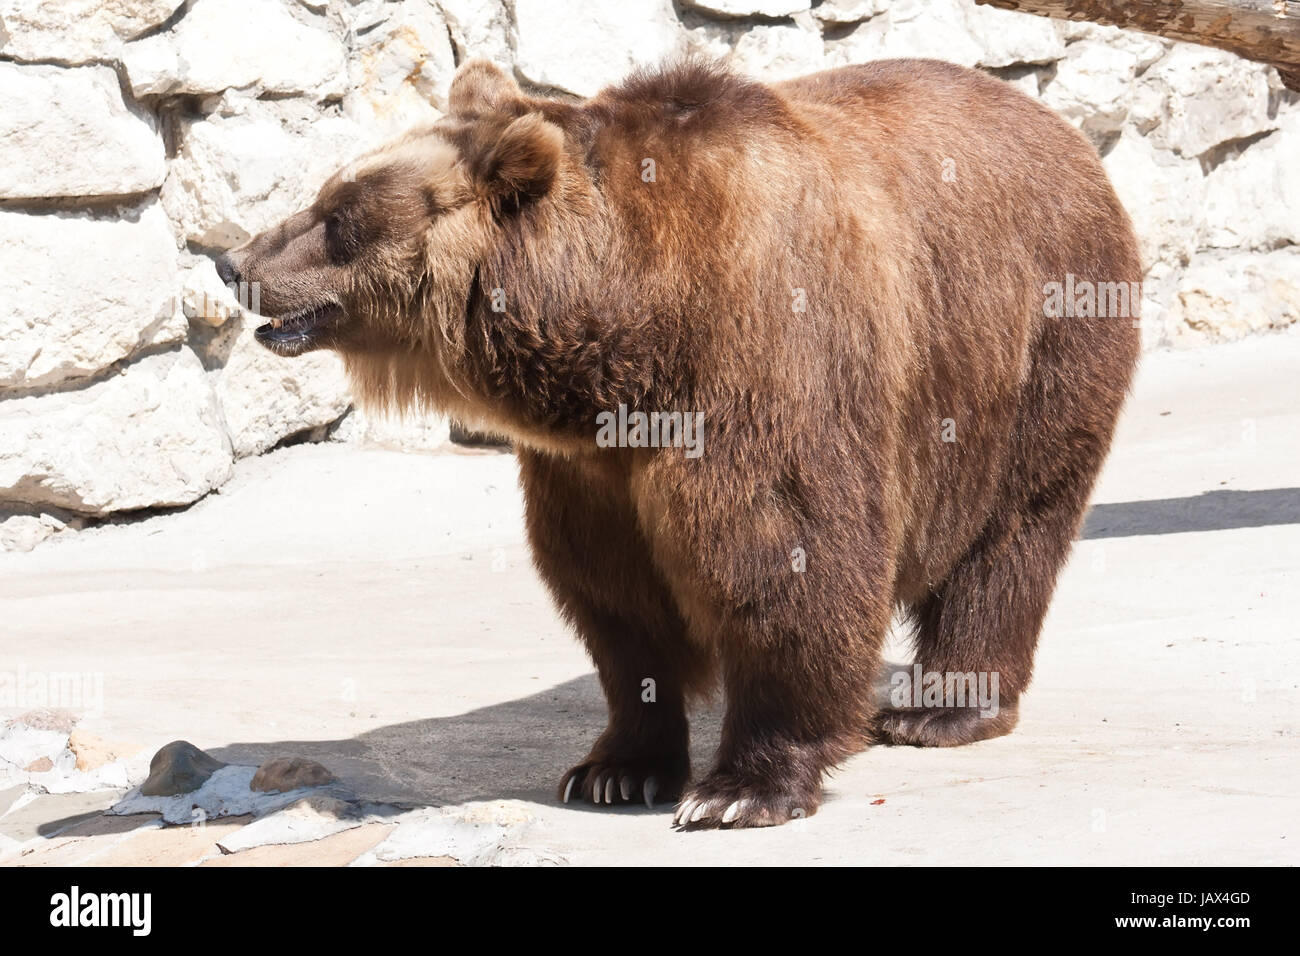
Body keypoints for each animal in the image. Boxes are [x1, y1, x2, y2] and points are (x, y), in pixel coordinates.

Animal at [216, 57, 1141, 829]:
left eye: (340, 217)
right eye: (326, 192)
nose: (234, 260)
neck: (632, 333)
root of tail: (1055, 125)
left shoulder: (763, 364)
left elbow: (787, 560)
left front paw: (739, 790)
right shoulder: (589, 469)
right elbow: (614, 597)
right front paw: (615, 768)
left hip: (1040, 342)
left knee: (1012, 532)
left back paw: (941, 706)